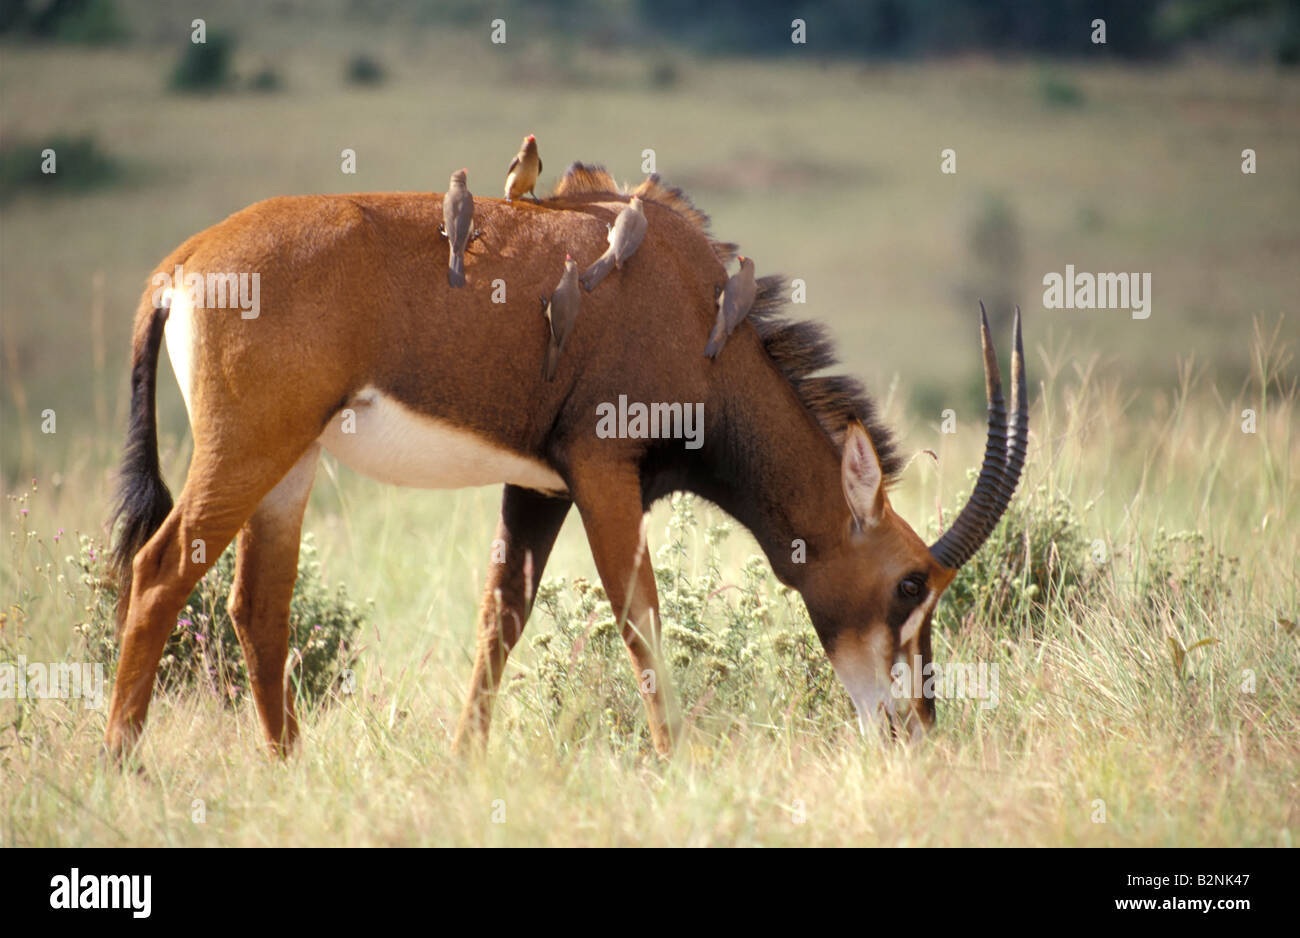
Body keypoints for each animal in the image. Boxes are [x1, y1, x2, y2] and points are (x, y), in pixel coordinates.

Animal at [106, 163, 1027, 758]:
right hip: (247, 452)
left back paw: (292, 767)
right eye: (910, 584)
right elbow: (640, 618)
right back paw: (122, 763)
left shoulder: (536, 486)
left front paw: (464, 765)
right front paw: (678, 761)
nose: (916, 727)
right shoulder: (603, 469)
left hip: (288, 466)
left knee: (257, 606)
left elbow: (500, 619)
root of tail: (177, 268)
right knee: (157, 573)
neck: (692, 303)